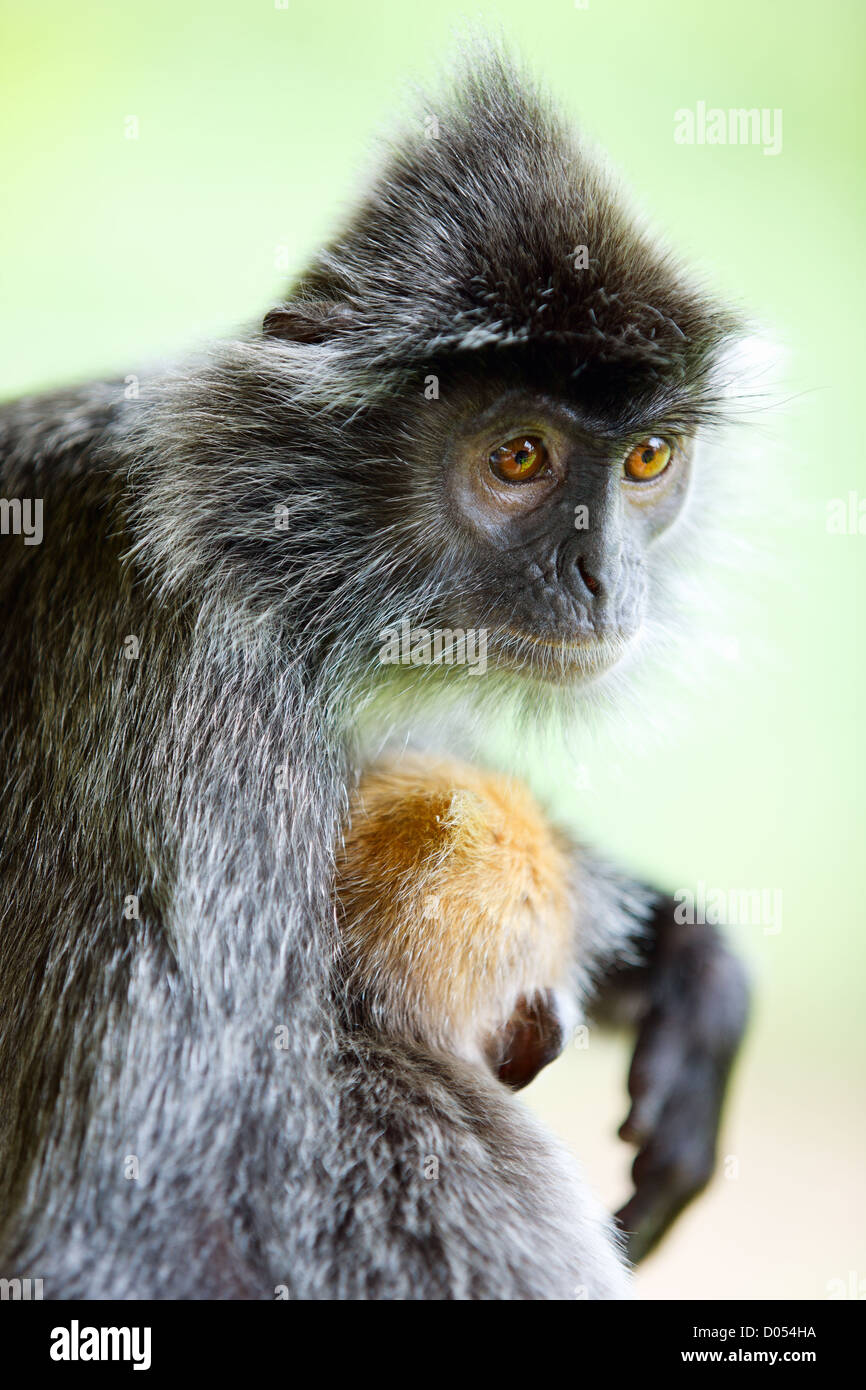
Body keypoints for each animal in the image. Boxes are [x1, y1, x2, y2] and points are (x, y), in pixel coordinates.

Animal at [0, 45, 750, 1299]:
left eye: (646, 459)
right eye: (517, 458)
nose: (605, 577)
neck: (224, 525)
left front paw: (686, 964)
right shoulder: (194, 684)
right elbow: (101, 1234)